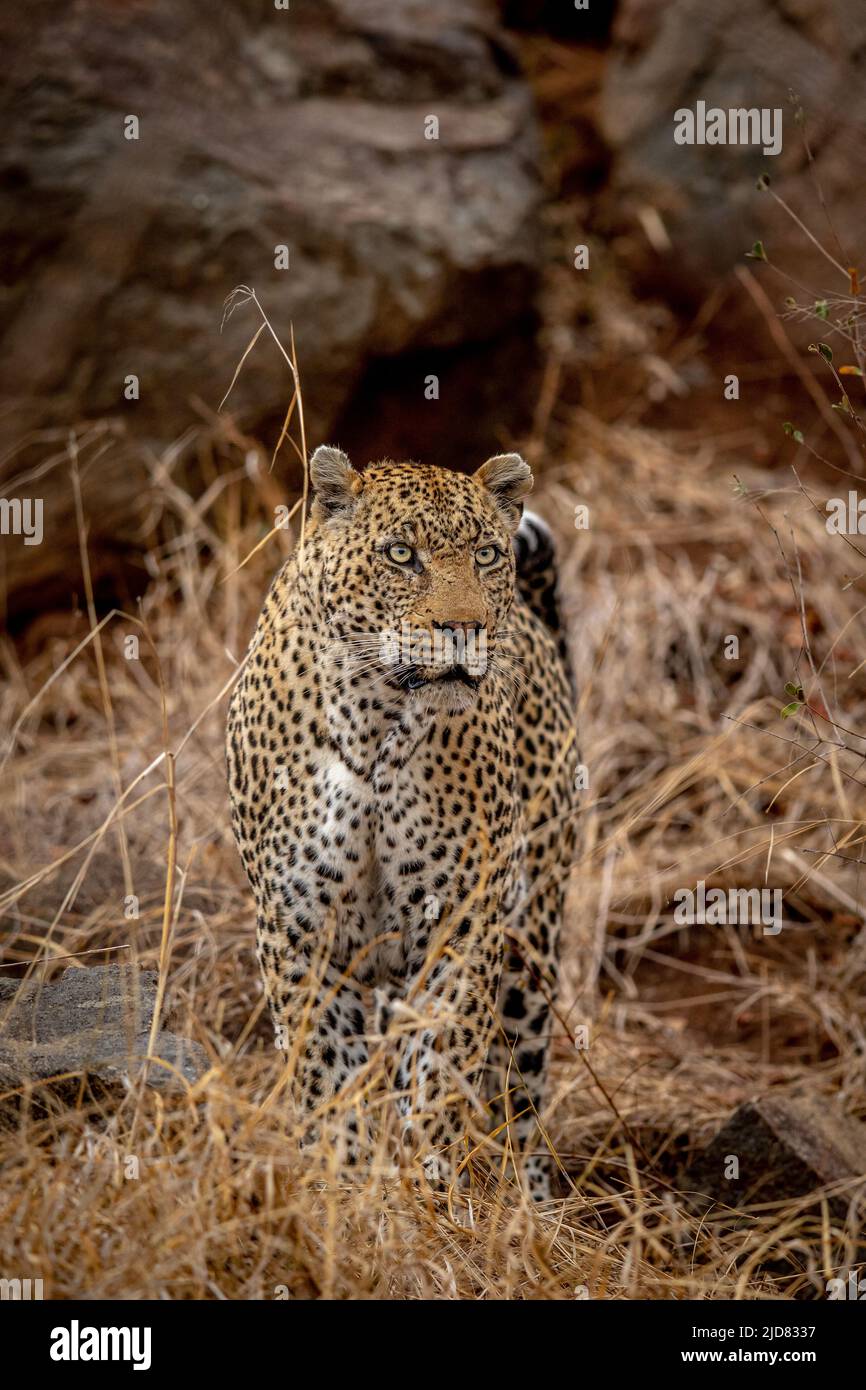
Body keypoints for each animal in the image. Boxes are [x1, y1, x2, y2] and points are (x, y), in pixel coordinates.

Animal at [226, 446, 578, 1202]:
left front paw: (433, 1196)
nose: (464, 629)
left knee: (522, 1092)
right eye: (400, 554)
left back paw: (533, 1206)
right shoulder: (299, 928)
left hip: (529, 944)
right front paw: (345, 1193)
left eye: (485, 555)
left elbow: (442, 1066)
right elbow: (325, 1076)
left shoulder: (460, 924)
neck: (375, 722)